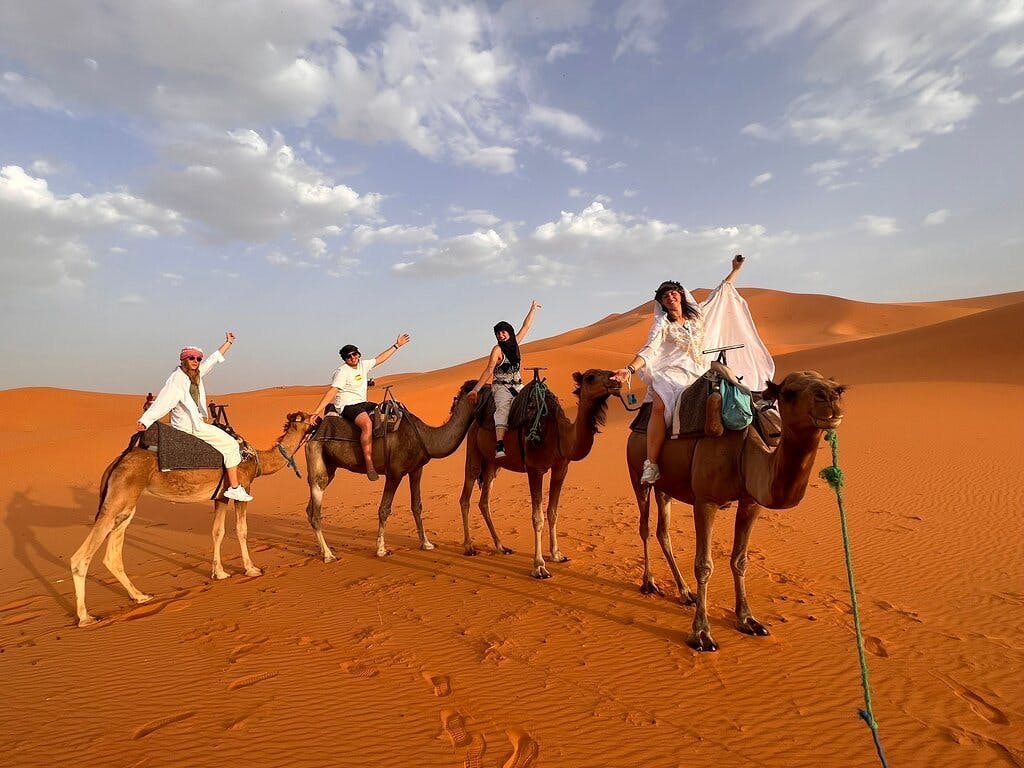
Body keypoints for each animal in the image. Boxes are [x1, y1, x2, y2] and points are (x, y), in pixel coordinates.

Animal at [71, 411, 315, 627]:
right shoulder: (242, 489)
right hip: (118, 499)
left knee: (112, 554)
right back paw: (85, 617)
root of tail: (115, 464)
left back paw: (140, 596)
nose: (319, 420)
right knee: (81, 557)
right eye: (310, 417)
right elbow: (241, 530)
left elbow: (218, 532)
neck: (258, 460)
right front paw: (252, 569)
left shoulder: (221, 496)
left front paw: (219, 573)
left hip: (127, 505)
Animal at [304, 380, 481, 561]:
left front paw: (426, 543)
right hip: (317, 456)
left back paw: (323, 550)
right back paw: (328, 554)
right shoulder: (394, 473)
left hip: (330, 467)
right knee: (316, 510)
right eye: (484, 389)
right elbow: (384, 509)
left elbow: (417, 505)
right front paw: (381, 550)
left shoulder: (416, 469)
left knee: (310, 509)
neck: (424, 437)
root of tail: (313, 432)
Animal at [459, 369, 621, 578]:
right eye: (590, 377)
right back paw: (469, 547)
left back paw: (502, 546)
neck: (560, 434)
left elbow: (553, 512)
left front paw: (557, 555)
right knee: (465, 496)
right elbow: (538, 518)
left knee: (484, 501)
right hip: (473, 450)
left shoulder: (561, 468)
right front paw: (539, 567)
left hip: (493, 465)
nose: (616, 379)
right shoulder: (535, 469)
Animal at [627, 370, 846, 651]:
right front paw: (701, 634)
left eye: (837, 388)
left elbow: (740, 560)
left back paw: (685, 593)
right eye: (788, 392)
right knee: (644, 527)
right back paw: (649, 583)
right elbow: (703, 565)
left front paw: (748, 620)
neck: (745, 453)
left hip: (666, 487)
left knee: (662, 531)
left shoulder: (750, 502)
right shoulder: (705, 500)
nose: (830, 397)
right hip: (637, 475)